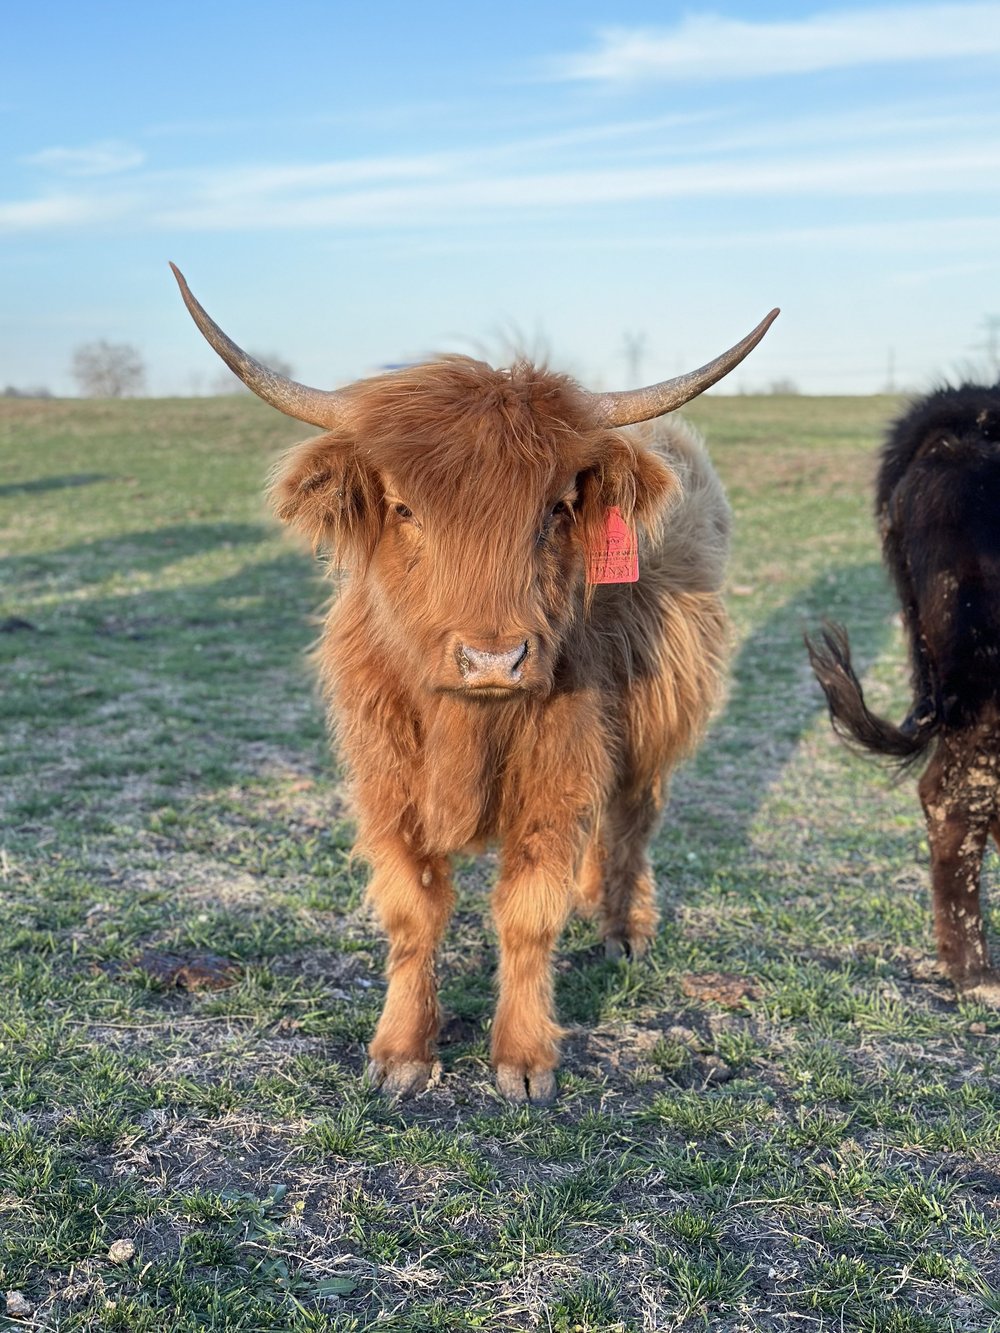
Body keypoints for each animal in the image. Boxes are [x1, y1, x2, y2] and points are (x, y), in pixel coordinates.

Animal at [171, 264, 778, 1100]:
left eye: (556, 507)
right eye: (403, 507)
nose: (496, 659)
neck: (470, 721)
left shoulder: (561, 764)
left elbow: (527, 911)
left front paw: (523, 1057)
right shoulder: (387, 776)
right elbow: (413, 910)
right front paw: (401, 1050)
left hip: (659, 717)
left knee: (632, 819)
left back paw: (623, 927)